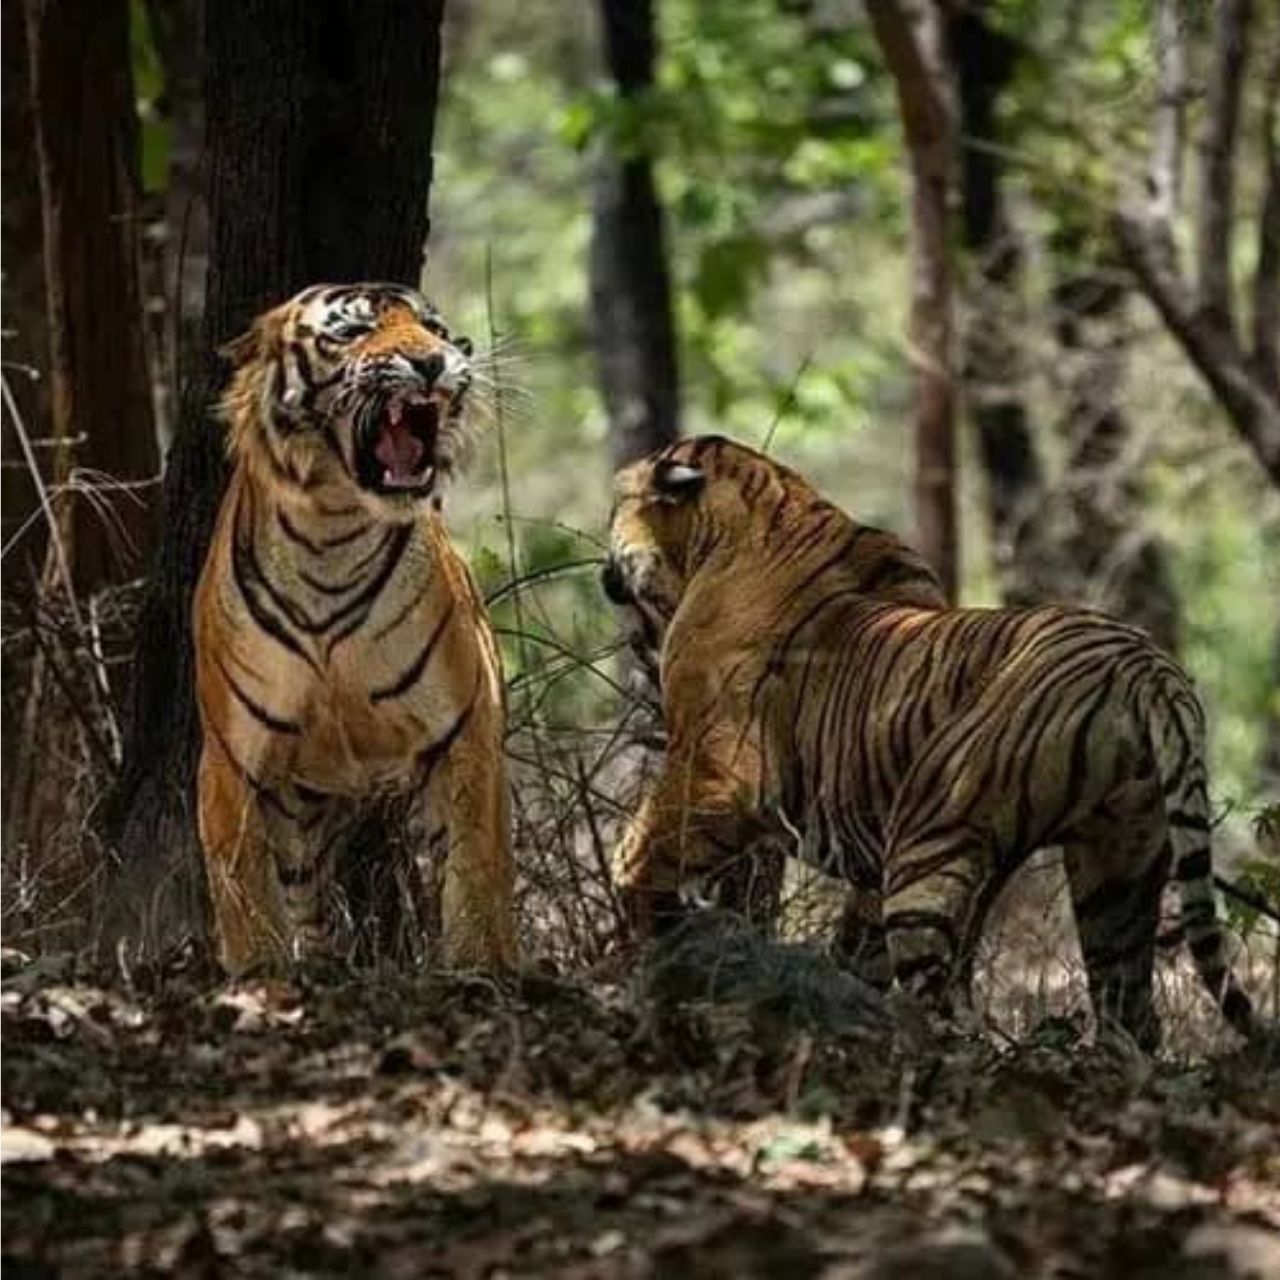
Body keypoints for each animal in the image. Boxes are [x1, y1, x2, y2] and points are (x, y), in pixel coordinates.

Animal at [193, 282, 516, 976]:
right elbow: (244, 896)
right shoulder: (231, 758)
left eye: (433, 329)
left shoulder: (464, 729)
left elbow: (478, 871)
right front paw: (259, 979)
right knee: (306, 902)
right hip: (300, 818)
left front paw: (484, 968)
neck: (331, 534)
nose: (435, 361)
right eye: (351, 332)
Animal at [601, 434, 1259, 1048]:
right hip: (1117, 866)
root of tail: (1145, 667)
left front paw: (642, 942)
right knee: (1131, 1012)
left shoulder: (719, 771)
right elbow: (857, 946)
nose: (605, 569)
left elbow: (637, 851)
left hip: (930, 836)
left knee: (942, 998)